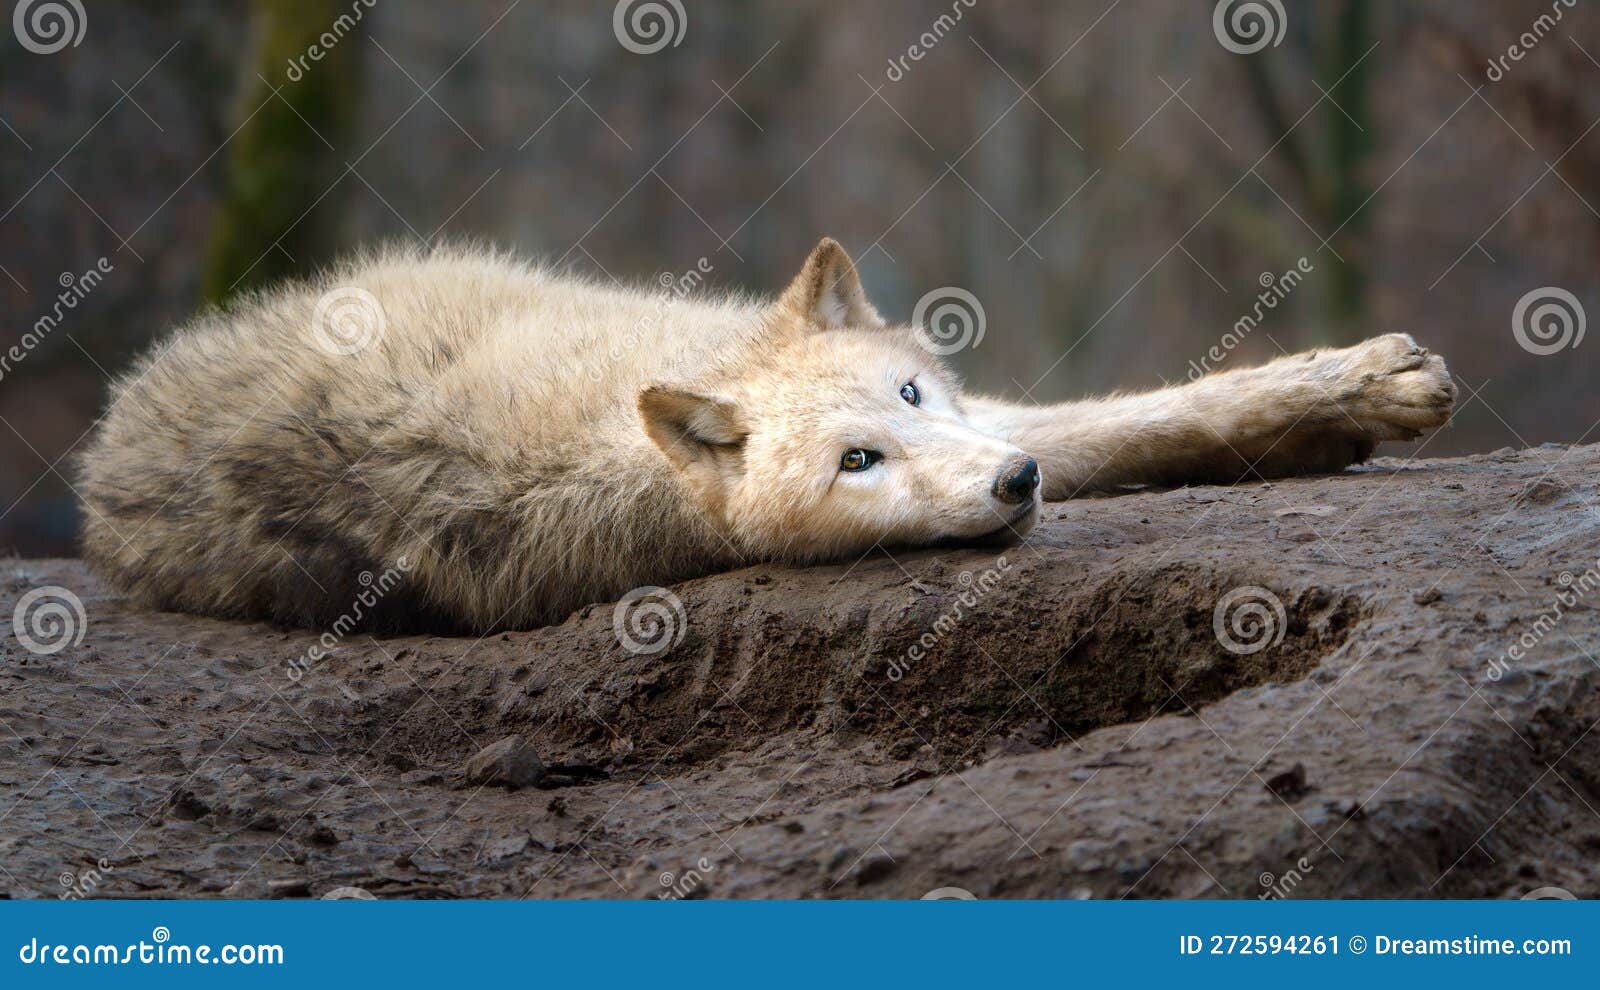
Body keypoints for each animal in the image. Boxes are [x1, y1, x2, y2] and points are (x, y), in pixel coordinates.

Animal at [78, 238, 1455, 632]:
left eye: (907, 401)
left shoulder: (998, 419)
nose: (1012, 484)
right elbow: (1131, 426)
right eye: (856, 466)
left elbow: (1148, 420)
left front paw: (1360, 392)